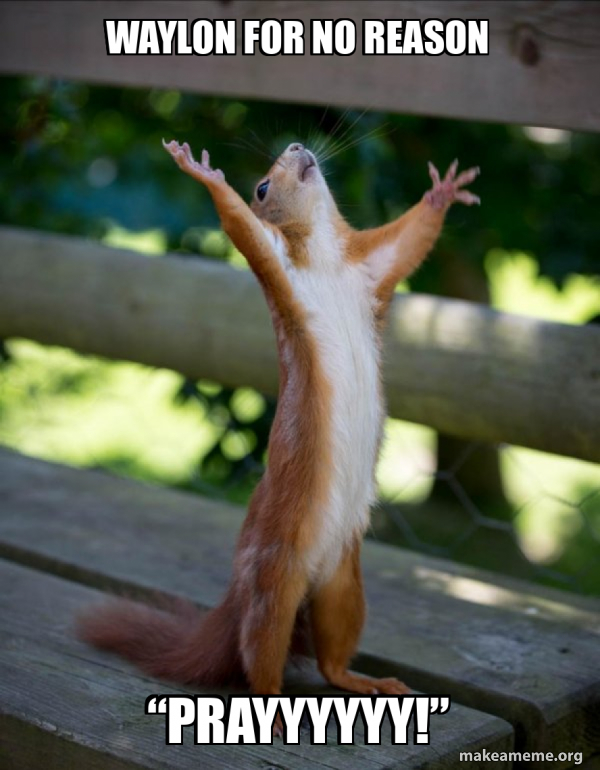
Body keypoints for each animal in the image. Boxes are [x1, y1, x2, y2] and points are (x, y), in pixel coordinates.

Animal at [78, 138, 479, 735]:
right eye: (262, 187)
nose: (296, 147)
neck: (327, 257)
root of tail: (239, 594)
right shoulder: (277, 266)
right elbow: (240, 226)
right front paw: (204, 174)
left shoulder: (372, 267)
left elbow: (409, 241)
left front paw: (443, 192)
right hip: (274, 583)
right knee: (258, 659)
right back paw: (274, 700)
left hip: (344, 585)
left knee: (332, 658)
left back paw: (364, 681)